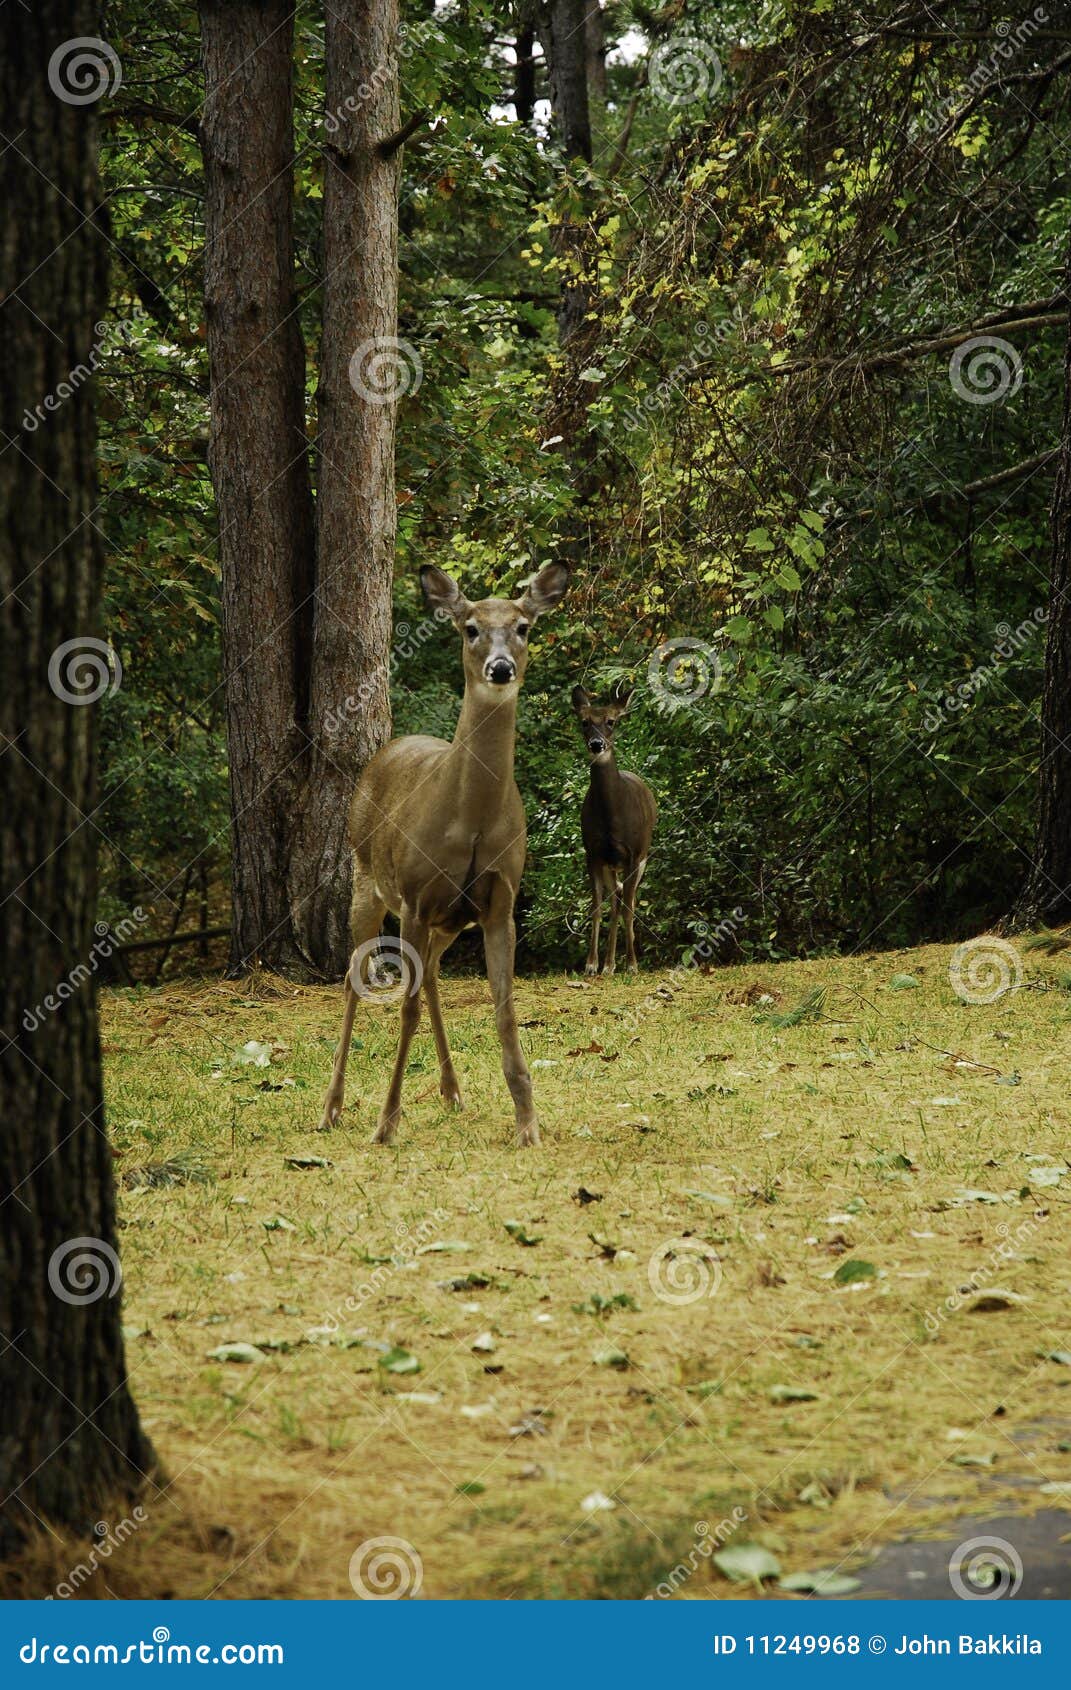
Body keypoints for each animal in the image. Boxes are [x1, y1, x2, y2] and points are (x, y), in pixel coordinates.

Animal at [318, 561, 570, 1147]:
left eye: (524, 626)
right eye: (470, 627)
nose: (500, 668)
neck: (471, 822)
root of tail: (389, 746)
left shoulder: (500, 902)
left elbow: (504, 1009)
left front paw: (527, 1122)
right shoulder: (414, 896)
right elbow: (405, 1007)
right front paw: (386, 1122)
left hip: (451, 920)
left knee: (431, 973)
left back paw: (452, 1090)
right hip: (366, 879)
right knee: (353, 976)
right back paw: (332, 1107)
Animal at [572, 685, 656, 976]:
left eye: (611, 721)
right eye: (584, 722)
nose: (597, 744)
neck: (613, 818)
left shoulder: (633, 854)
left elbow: (630, 909)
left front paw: (632, 965)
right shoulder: (593, 853)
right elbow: (597, 907)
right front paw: (591, 964)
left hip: (643, 858)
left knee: (626, 901)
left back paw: (618, 963)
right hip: (611, 865)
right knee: (616, 898)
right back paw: (608, 965)